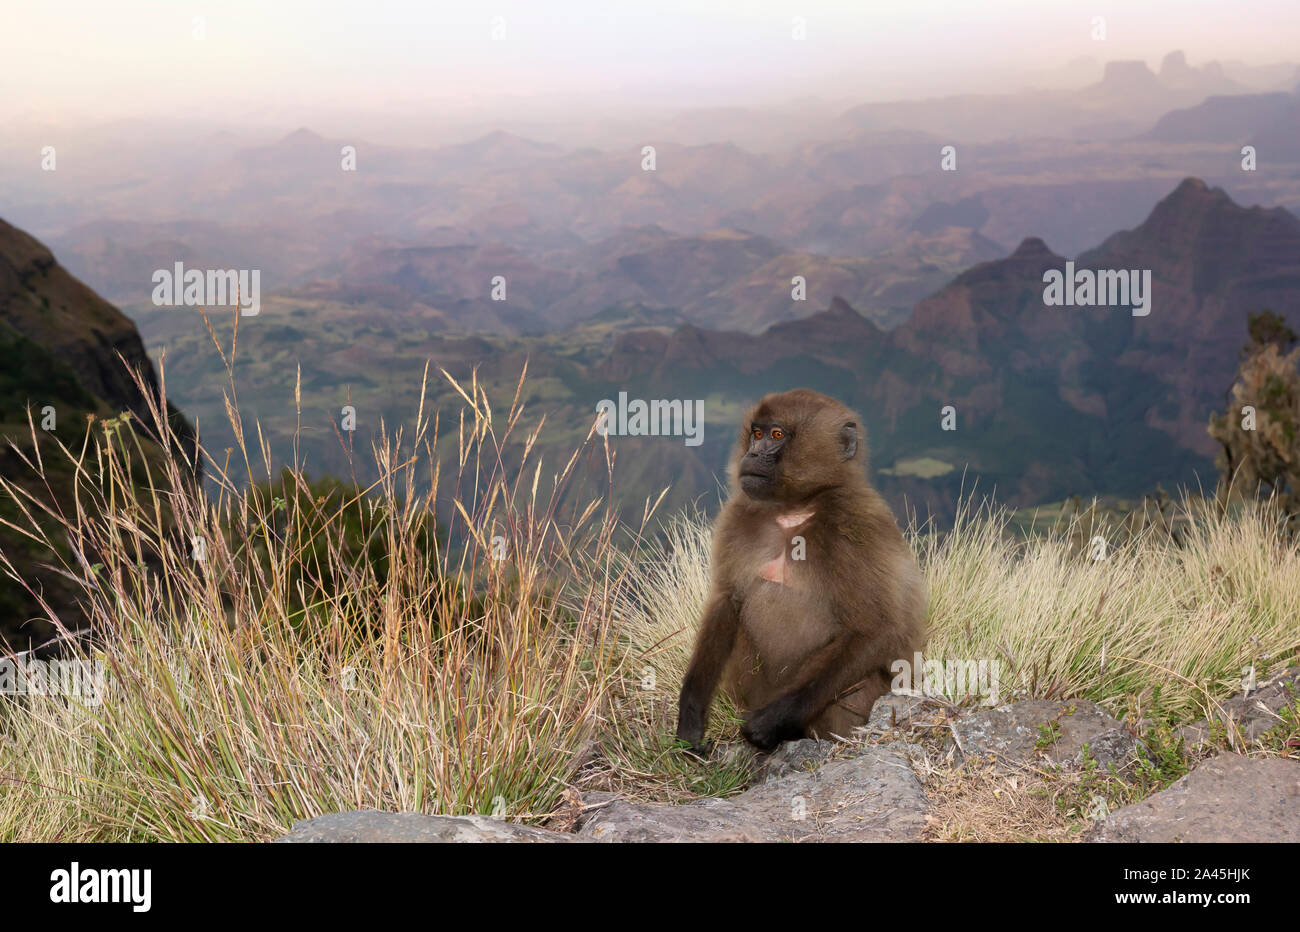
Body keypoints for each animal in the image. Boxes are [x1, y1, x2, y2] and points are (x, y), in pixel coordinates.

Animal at [676, 388, 927, 753]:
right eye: (757, 433)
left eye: (777, 435)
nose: (751, 454)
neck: (794, 508)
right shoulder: (737, 516)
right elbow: (727, 600)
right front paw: (692, 713)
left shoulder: (856, 524)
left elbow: (877, 628)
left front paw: (769, 724)